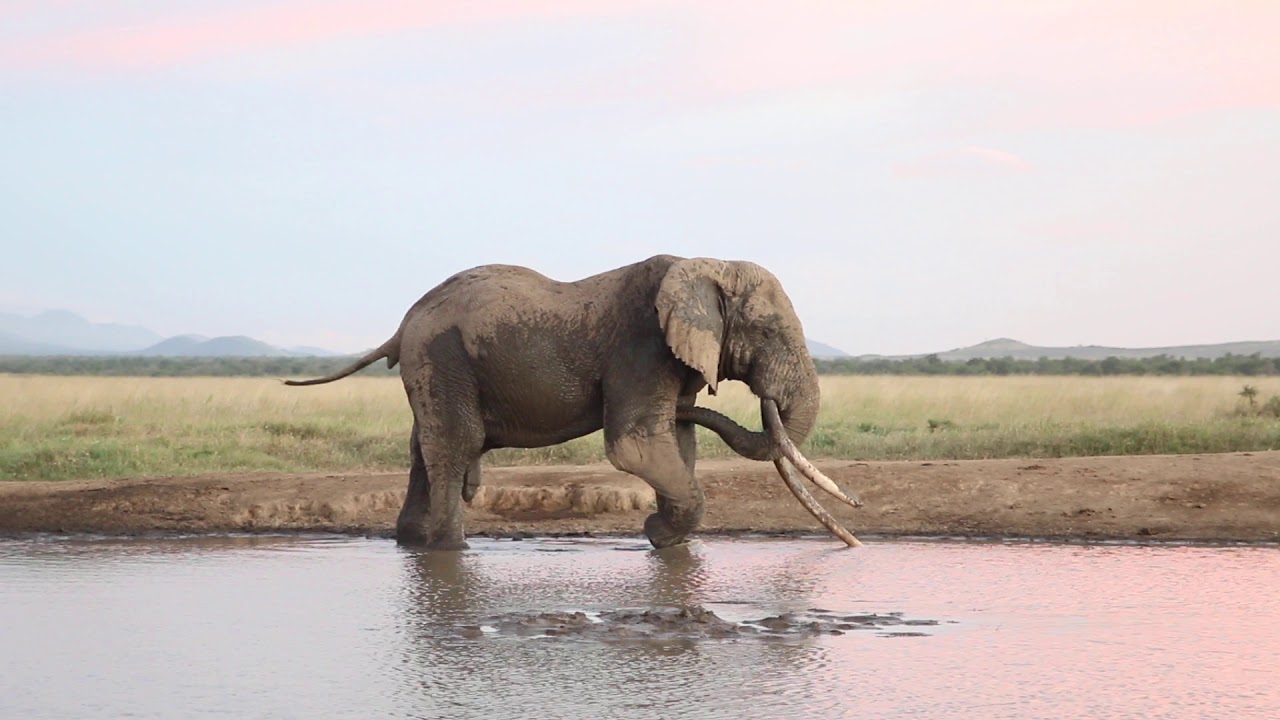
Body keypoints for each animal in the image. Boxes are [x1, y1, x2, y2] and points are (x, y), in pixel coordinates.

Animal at [286, 255, 861, 550]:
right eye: (765, 332)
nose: (853, 530)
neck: (704, 264)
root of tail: (403, 322)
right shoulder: (641, 347)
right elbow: (635, 447)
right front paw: (657, 534)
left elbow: (676, 440)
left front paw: (665, 541)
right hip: (441, 356)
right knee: (454, 445)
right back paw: (449, 550)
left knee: (421, 450)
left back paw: (410, 543)